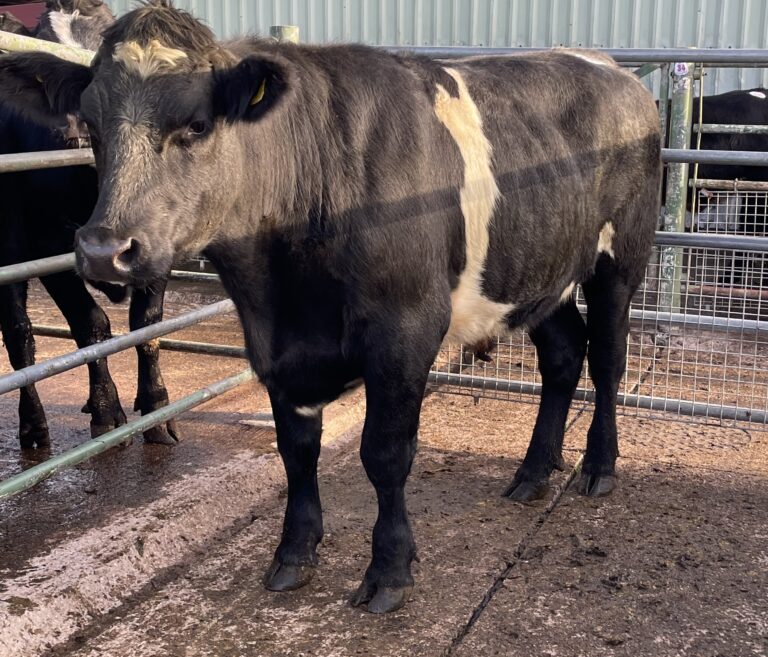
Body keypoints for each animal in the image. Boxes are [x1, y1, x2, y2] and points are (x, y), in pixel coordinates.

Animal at [0, 0, 178, 447]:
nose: (77, 122)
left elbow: (147, 325)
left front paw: (157, 407)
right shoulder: (48, 245)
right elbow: (91, 326)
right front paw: (106, 410)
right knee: (19, 336)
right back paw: (33, 425)